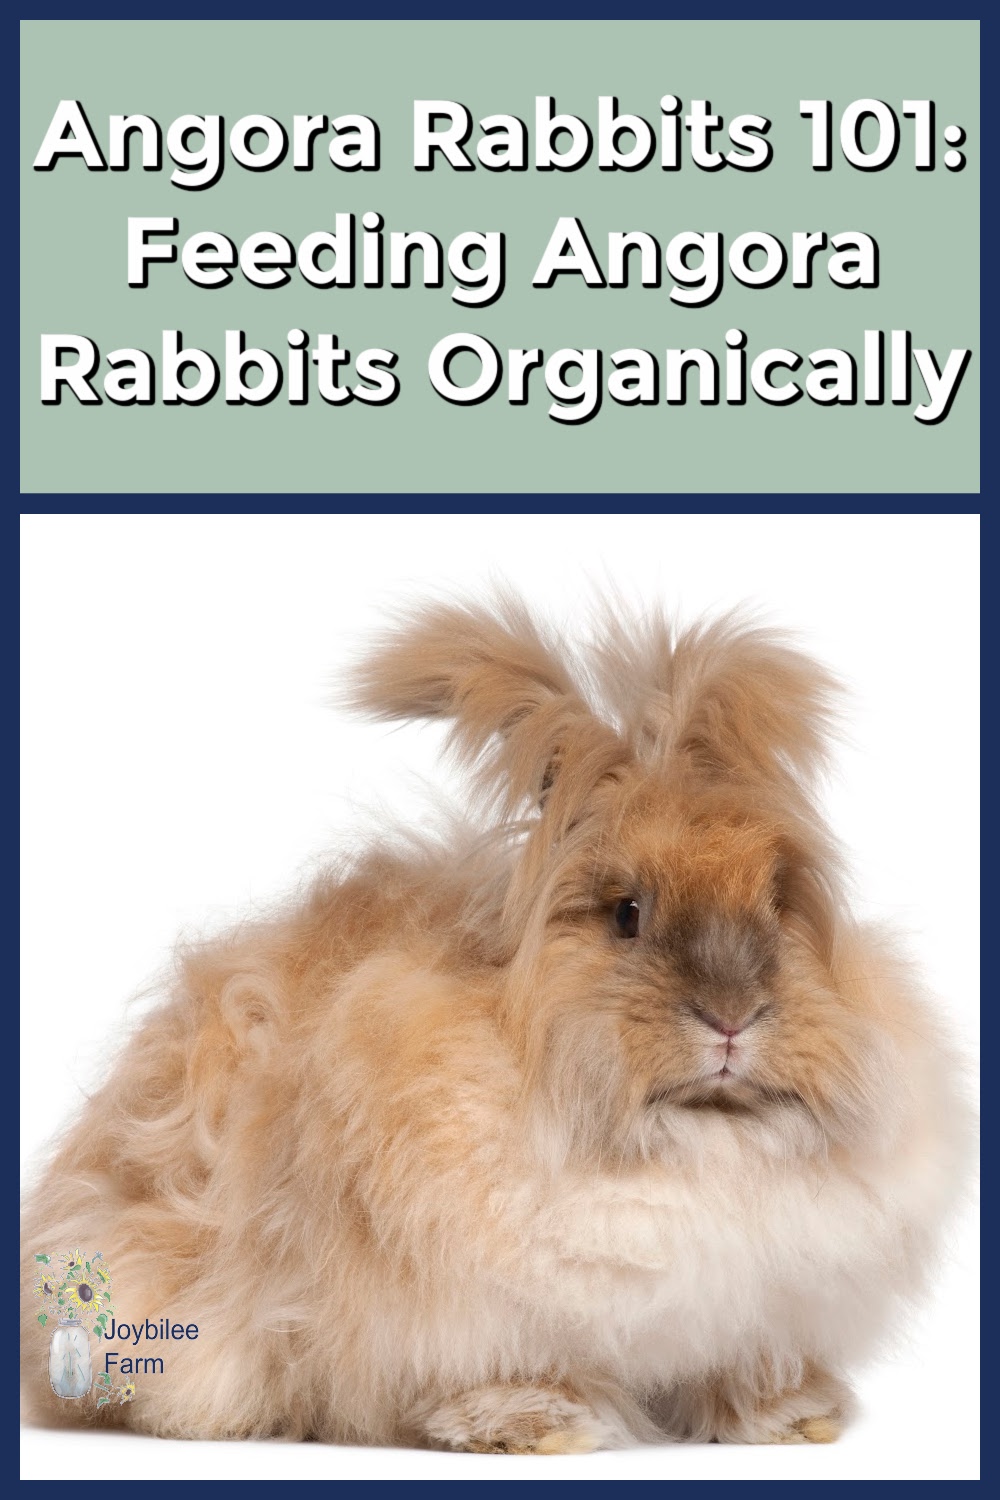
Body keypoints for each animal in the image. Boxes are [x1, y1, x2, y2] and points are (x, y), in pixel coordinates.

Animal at [21, 595, 970, 1452]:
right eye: (627, 914)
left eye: (775, 904)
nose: (733, 1017)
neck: (695, 1149)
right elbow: (495, 1363)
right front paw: (540, 1426)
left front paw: (792, 1416)